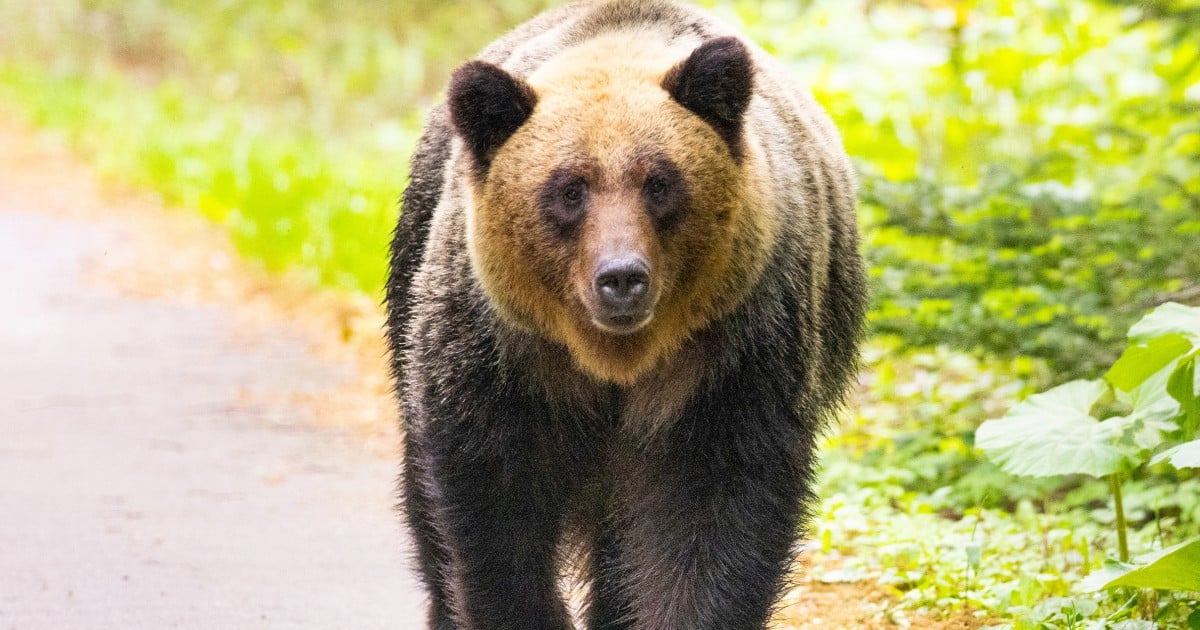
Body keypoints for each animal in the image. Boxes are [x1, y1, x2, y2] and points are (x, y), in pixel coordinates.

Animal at [384, 1, 867, 629]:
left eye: (659, 182)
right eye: (570, 189)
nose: (621, 278)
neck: (615, 361)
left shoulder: (733, 353)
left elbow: (715, 513)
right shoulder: (499, 355)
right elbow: (494, 514)